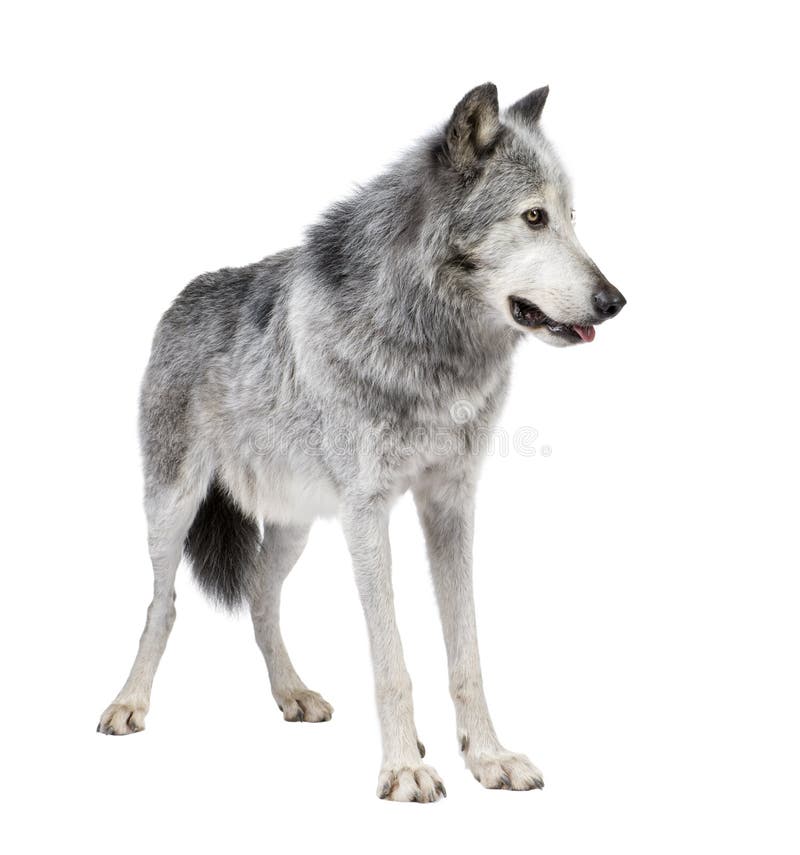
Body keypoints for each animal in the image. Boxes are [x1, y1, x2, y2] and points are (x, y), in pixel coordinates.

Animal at [97, 83, 626, 802]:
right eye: (534, 217)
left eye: (572, 218)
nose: (615, 300)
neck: (427, 340)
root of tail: (178, 299)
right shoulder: (367, 513)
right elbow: (391, 659)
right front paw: (404, 767)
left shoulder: (449, 503)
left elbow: (467, 654)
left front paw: (487, 756)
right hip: (172, 509)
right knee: (163, 604)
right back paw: (129, 703)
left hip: (294, 525)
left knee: (261, 597)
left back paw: (292, 693)